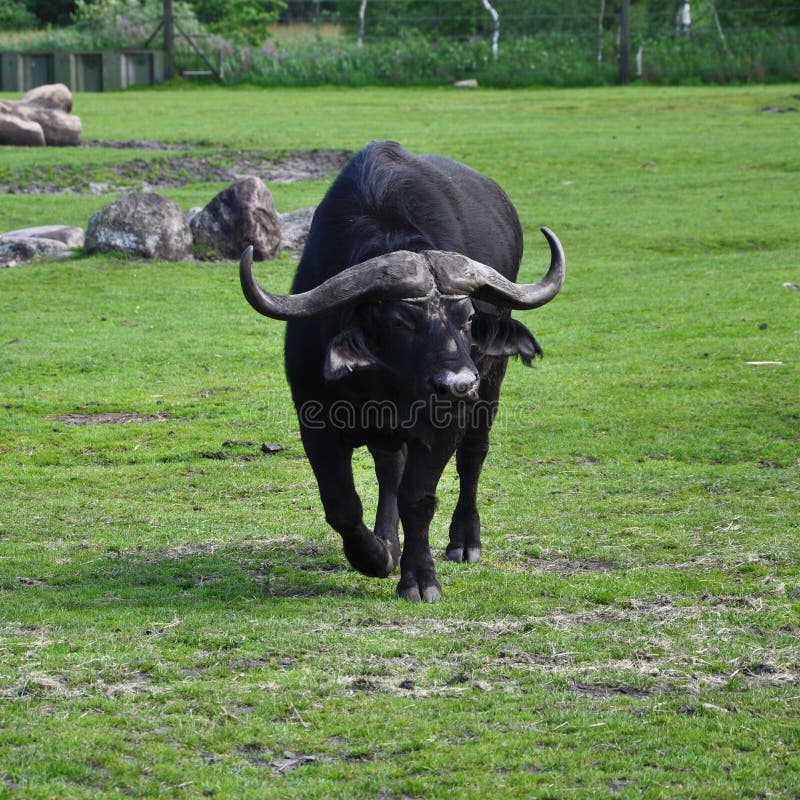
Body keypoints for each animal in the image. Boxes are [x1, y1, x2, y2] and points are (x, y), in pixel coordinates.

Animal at [240, 141, 564, 601]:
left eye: (467, 318)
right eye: (401, 321)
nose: (458, 385)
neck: (388, 384)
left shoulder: (443, 424)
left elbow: (418, 498)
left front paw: (419, 578)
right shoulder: (315, 422)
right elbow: (342, 505)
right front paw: (378, 556)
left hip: (490, 386)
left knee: (473, 457)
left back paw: (465, 541)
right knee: (388, 469)